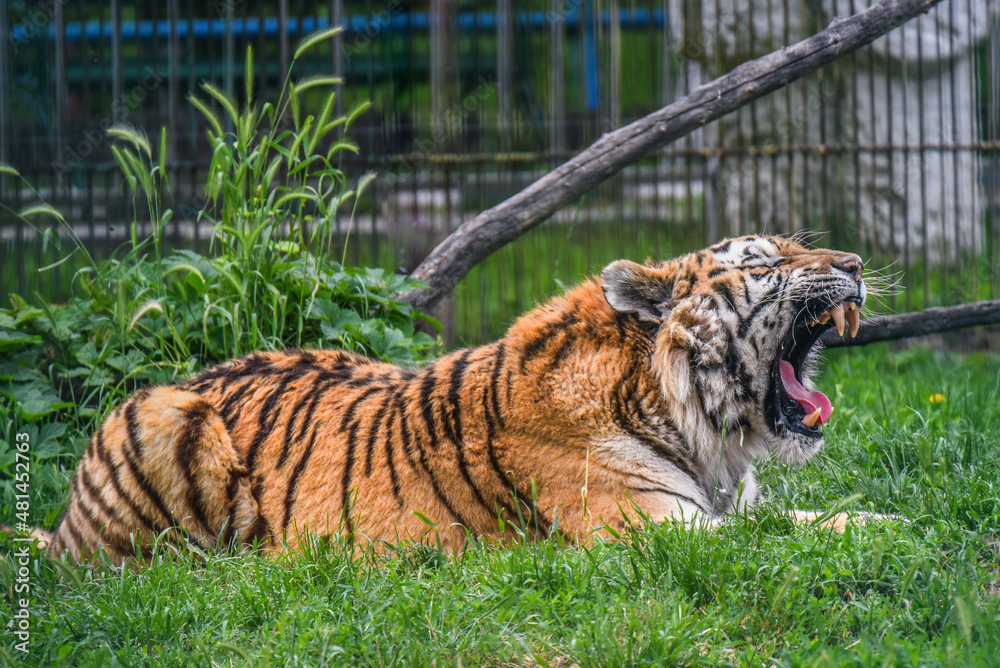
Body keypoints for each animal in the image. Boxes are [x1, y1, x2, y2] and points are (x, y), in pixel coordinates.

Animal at [33, 234, 868, 564]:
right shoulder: (654, 530)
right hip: (162, 416)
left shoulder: (728, 510)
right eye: (764, 262)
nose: (858, 263)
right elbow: (798, 538)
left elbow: (823, 519)